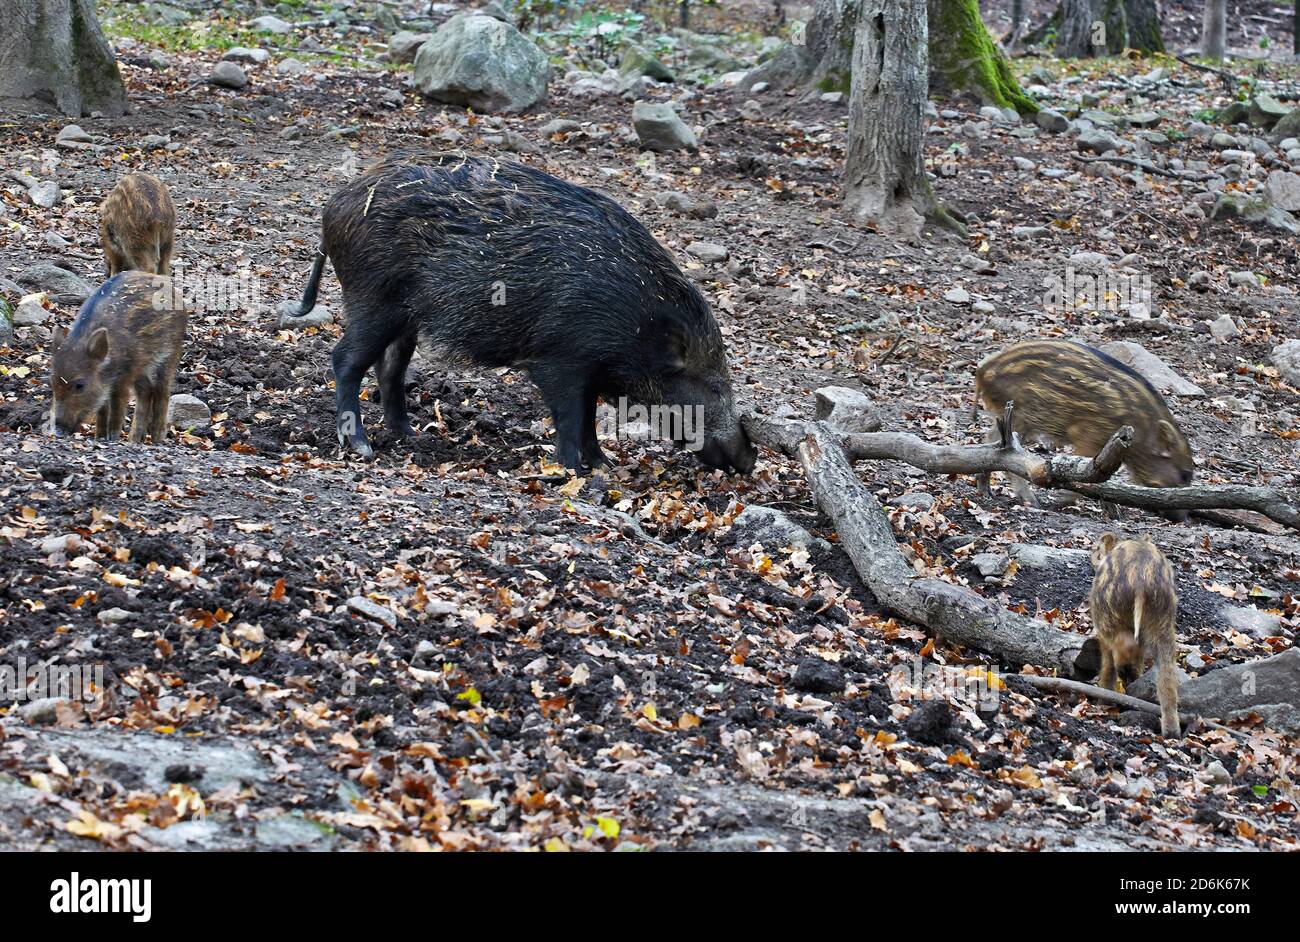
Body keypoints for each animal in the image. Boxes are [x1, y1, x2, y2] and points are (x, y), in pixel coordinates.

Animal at [49, 271, 187, 444]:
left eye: (80, 385)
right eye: (52, 383)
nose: (58, 430)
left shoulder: (124, 377)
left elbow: (118, 405)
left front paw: (112, 438)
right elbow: (102, 408)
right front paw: (99, 437)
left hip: (170, 354)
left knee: (162, 392)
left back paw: (157, 439)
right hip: (143, 368)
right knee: (146, 392)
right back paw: (133, 440)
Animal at [287, 154, 757, 474]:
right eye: (714, 386)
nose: (750, 458)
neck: (636, 323)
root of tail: (335, 205)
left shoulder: (590, 369)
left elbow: (588, 418)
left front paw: (601, 464)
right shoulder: (559, 358)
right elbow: (570, 415)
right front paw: (573, 469)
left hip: (406, 317)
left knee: (389, 368)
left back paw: (409, 434)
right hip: (373, 299)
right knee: (345, 359)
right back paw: (361, 446)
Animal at [973, 340, 1194, 506]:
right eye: (1183, 476)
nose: (1184, 519)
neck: (1144, 430)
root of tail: (983, 370)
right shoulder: (1087, 435)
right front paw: (1059, 502)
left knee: (992, 442)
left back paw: (986, 490)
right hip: (1021, 415)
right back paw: (1032, 502)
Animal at [1089, 532, 1181, 738]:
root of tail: (1141, 581)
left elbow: (1107, 664)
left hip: (1108, 613)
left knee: (1123, 647)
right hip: (1163, 622)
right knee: (1167, 677)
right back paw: (1172, 733)